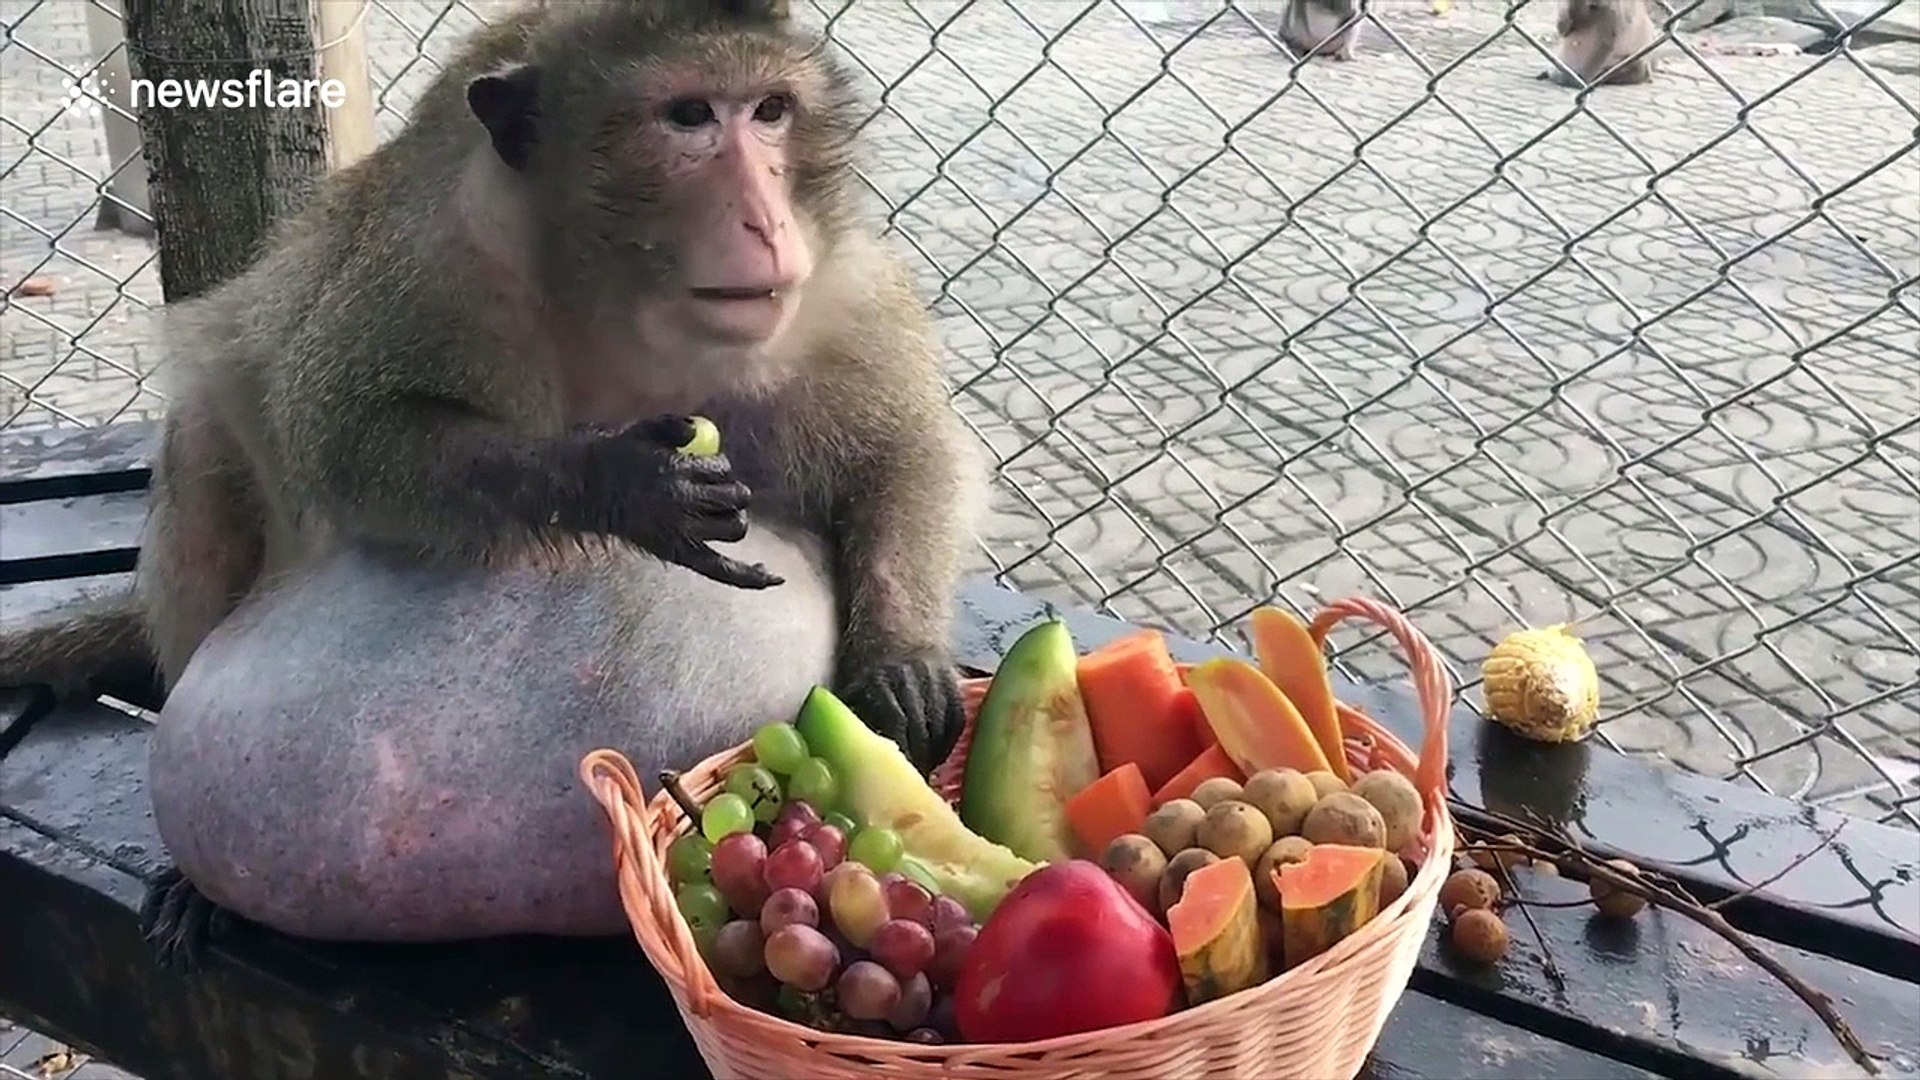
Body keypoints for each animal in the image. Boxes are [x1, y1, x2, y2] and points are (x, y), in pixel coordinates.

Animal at [0, 0, 985, 967]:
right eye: (690, 117)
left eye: (772, 110)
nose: (765, 224)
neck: (620, 308)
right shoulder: (436, 257)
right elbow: (342, 435)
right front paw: (620, 482)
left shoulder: (835, 288)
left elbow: (900, 453)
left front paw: (899, 661)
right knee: (208, 438)